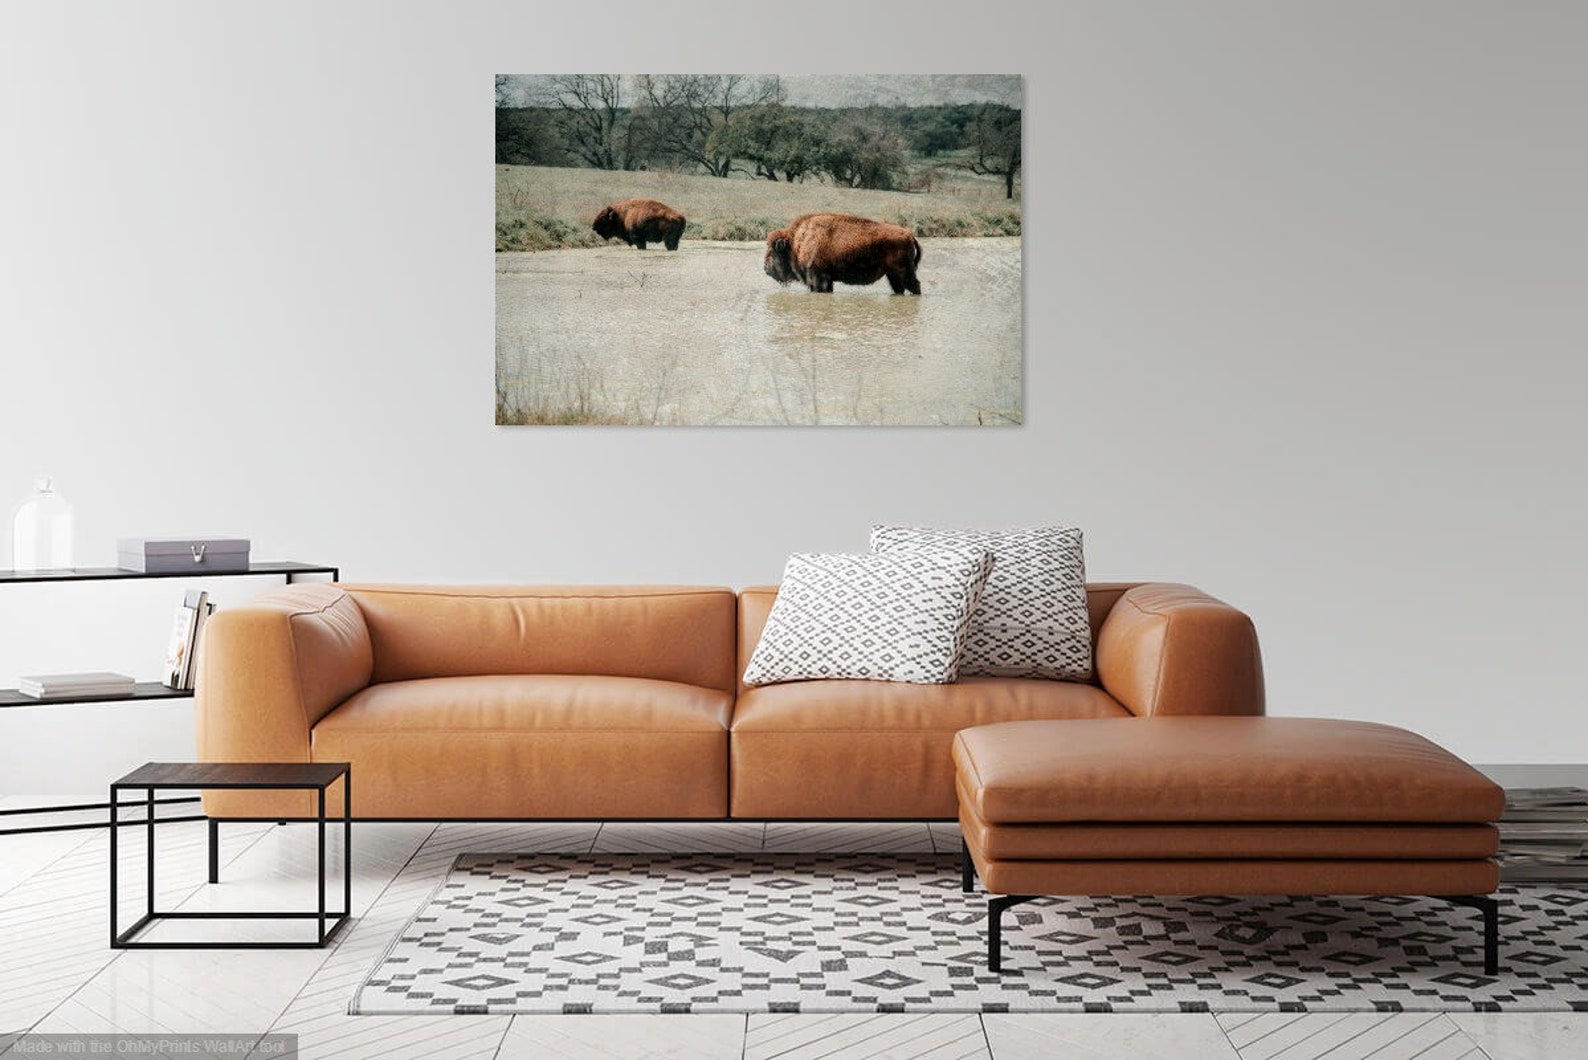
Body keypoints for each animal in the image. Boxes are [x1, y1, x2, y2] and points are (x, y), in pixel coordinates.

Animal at [763, 213, 922, 295]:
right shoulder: (827, 279)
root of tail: (910, 235)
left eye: (772, 251)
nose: (765, 268)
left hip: (900, 272)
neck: (796, 241)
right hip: (893, 275)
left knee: (913, 285)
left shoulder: (818, 278)